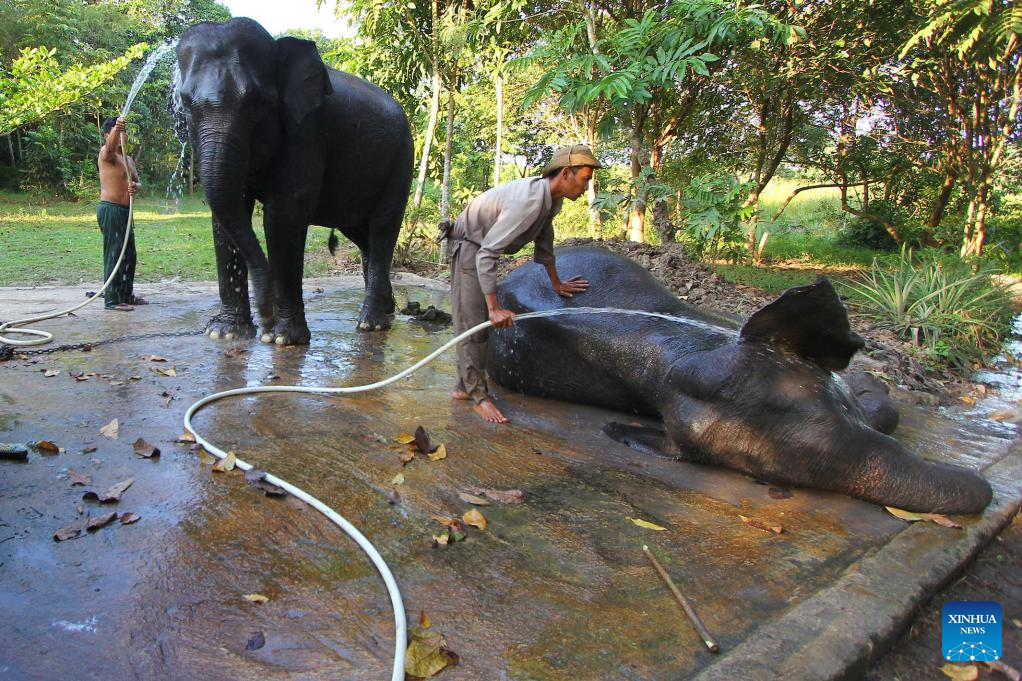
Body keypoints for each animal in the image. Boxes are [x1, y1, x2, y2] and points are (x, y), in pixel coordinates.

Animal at [174, 18, 413, 344]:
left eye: (256, 103)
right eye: (186, 104)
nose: (265, 318)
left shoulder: (307, 129)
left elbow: (283, 215)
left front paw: (281, 339)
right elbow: (228, 213)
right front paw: (224, 333)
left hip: (402, 158)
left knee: (382, 227)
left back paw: (371, 324)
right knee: (361, 234)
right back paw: (387, 310)